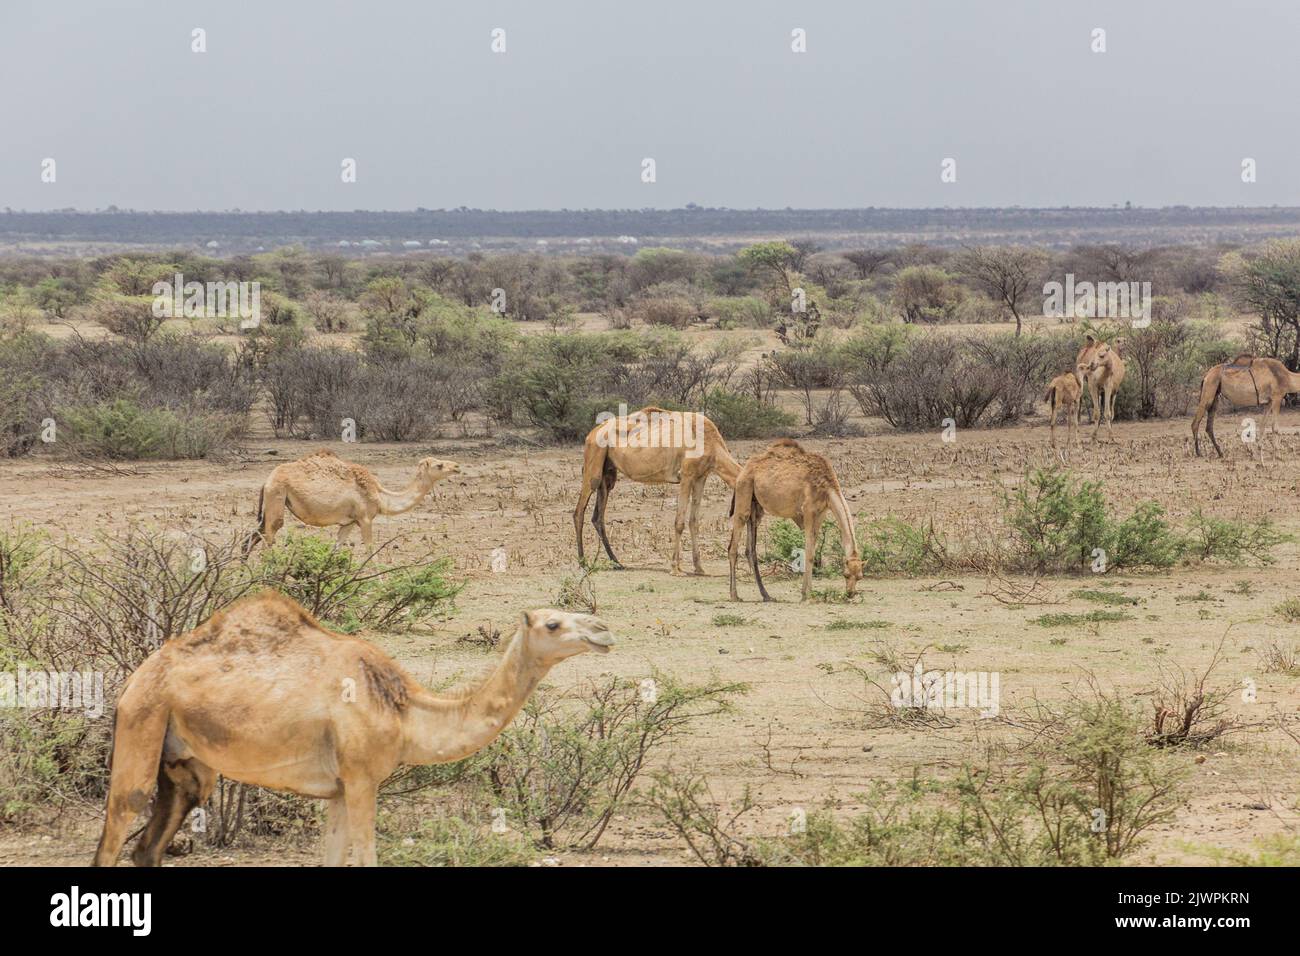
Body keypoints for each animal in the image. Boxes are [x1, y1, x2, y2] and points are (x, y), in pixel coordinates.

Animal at [92, 591, 614, 867]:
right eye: (553, 623)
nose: (603, 630)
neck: (403, 711)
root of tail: (136, 676)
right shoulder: (362, 778)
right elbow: (366, 856)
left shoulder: (340, 788)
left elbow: (333, 856)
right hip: (143, 718)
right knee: (119, 822)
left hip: (185, 763)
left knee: (151, 843)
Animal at [245, 449, 459, 553]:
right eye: (439, 465)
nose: (457, 466)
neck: (379, 495)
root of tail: (266, 481)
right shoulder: (365, 519)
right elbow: (371, 551)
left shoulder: (348, 523)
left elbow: (335, 550)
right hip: (277, 497)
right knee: (269, 537)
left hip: (271, 504)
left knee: (253, 536)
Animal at [574, 407, 741, 574]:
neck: (710, 443)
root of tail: (592, 433)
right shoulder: (686, 475)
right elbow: (679, 522)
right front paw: (675, 568)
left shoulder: (701, 477)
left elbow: (694, 521)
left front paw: (699, 568)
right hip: (593, 469)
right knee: (579, 512)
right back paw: (583, 563)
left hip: (608, 475)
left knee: (598, 517)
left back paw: (616, 562)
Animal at [727, 439, 863, 602]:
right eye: (845, 574)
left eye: (860, 577)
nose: (850, 593)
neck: (827, 487)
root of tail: (744, 469)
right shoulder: (809, 510)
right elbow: (809, 553)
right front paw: (807, 594)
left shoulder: (821, 513)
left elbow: (812, 549)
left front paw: (807, 592)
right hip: (744, 489)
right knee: (733, 546)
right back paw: (735, 595)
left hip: (756, 505)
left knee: (750, 549)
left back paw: (766, 595)